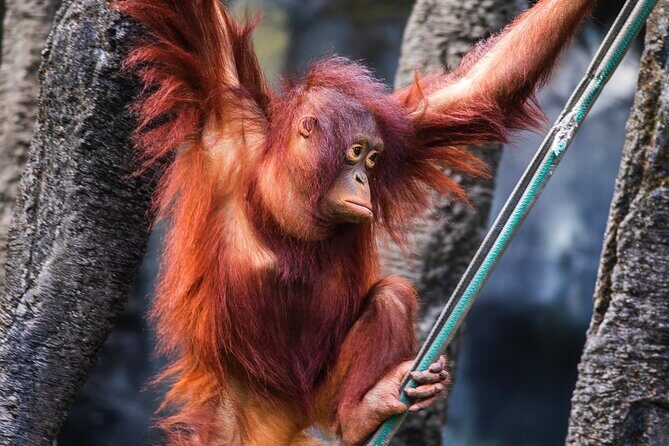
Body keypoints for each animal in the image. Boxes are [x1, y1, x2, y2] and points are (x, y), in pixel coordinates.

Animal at [112, 0, 595, 444]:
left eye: (375, 158)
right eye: (356, 152)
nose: (364, 178)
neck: (287, 191)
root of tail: (285, 417)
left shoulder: (401, 134)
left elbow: (480, 89)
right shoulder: (225, 120)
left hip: (324, 393)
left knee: (391, 296)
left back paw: (362, 415)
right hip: (239, 411)